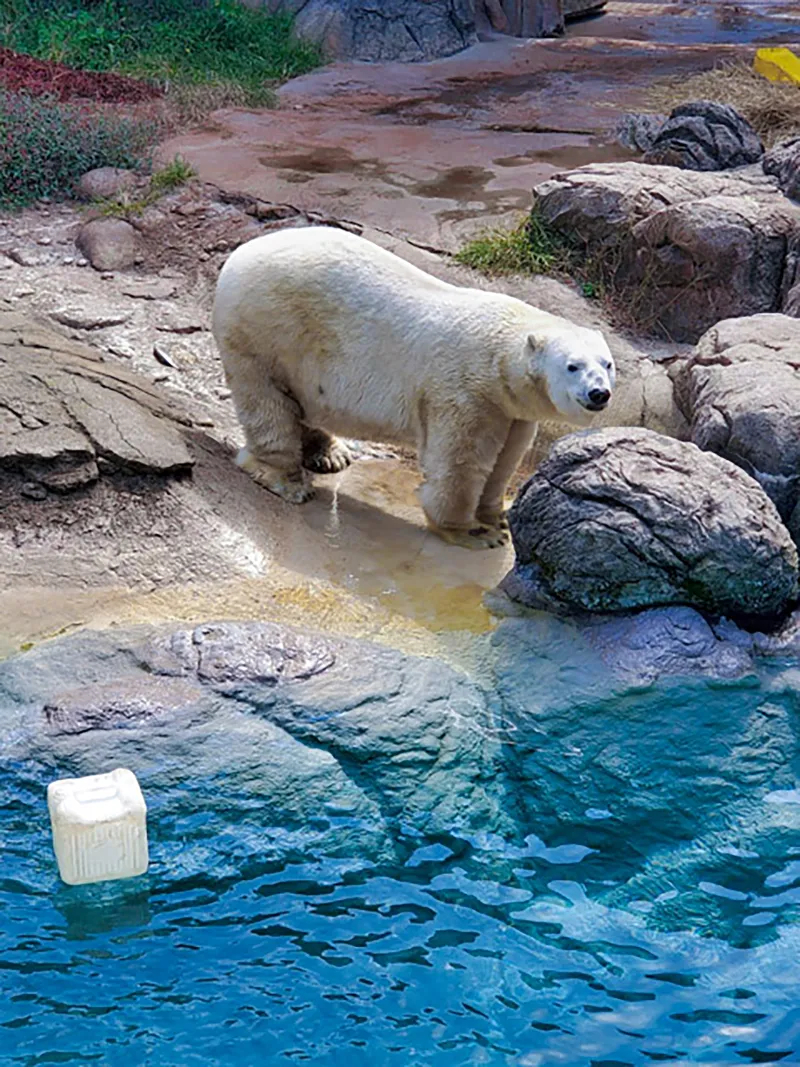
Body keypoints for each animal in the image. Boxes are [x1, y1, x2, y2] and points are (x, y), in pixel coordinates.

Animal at [212, 226, 615, 550]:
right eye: (573, 366)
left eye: (607, 364)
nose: (599, 393)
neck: (499, 352)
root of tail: (239, 254)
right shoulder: (465, 392)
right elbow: (460, 462)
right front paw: (473, 532)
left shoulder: (511, 408)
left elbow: (507, 458)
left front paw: (496, 517)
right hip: (267, 330)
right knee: (267, 401)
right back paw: (286, 479)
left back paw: (331, 454)